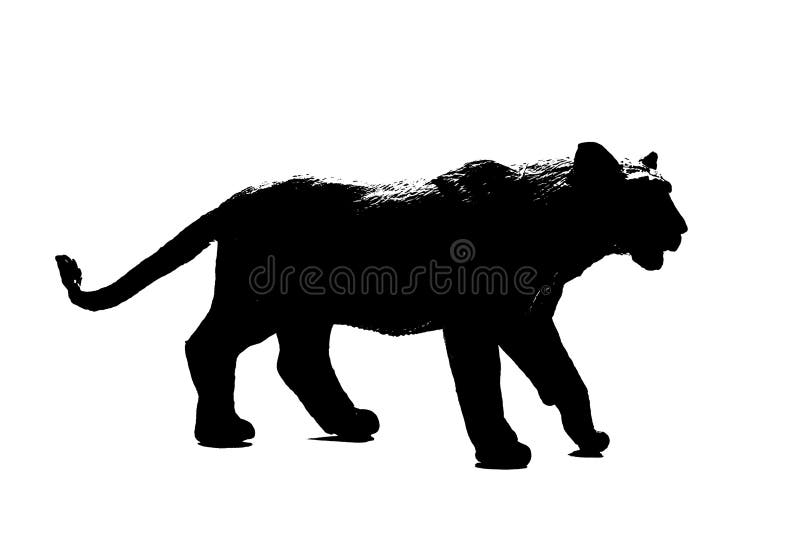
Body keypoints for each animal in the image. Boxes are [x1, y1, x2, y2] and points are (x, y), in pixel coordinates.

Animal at [55, 142, 687, 468]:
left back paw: (349, 424)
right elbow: (483, 385)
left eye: (671, 195)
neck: (558, 227)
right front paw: (502, 450)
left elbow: (565, 378)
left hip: (304, 314)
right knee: (207, 345)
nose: (681, 229)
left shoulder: (528, 320)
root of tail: (238, 198)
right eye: (648, 201)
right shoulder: (476, 324)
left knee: (298, 363)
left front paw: (588, 438)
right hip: (257, 302)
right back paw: (221, 432)